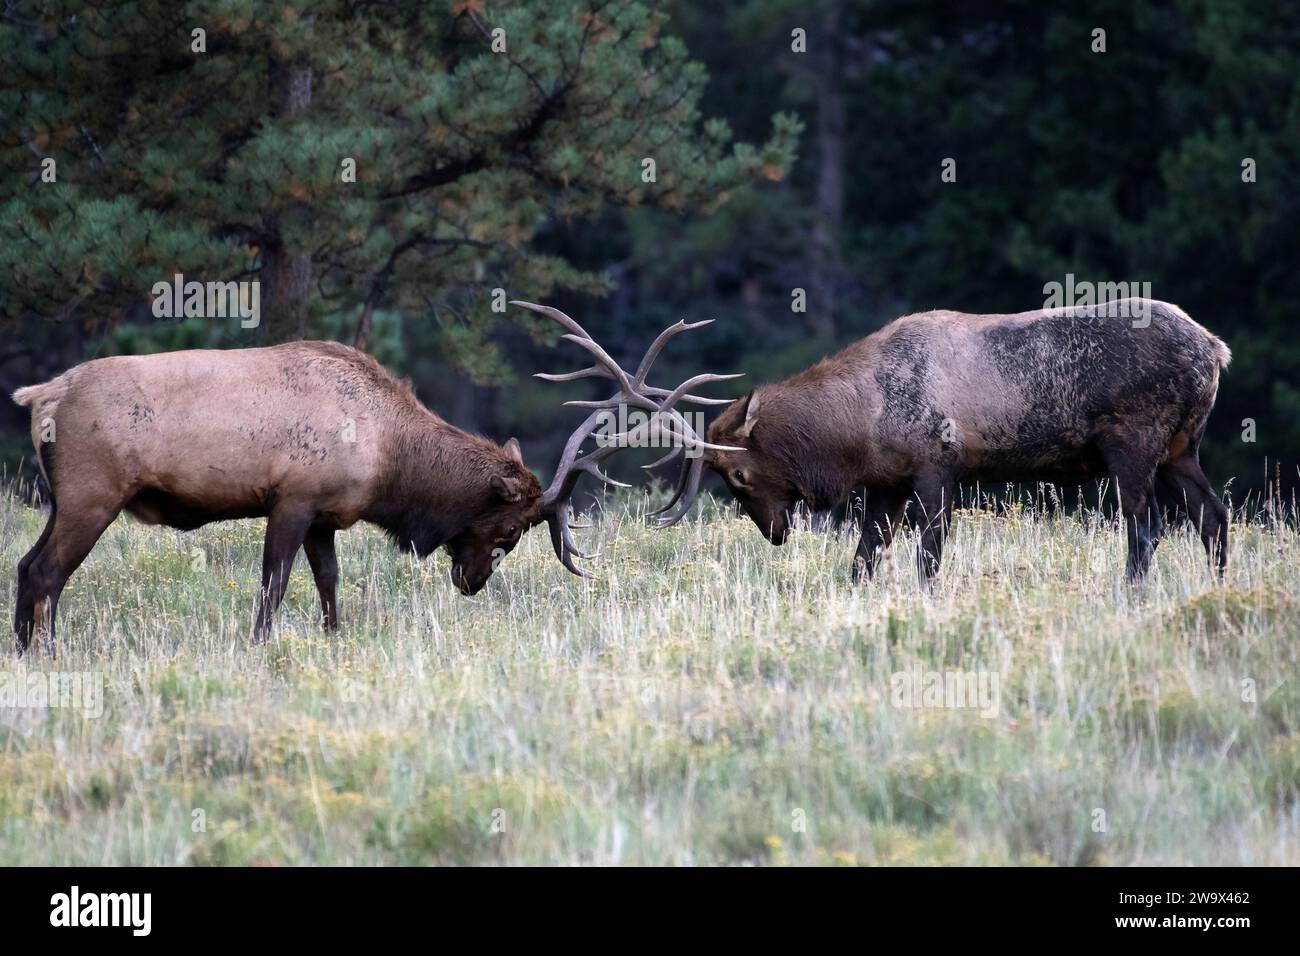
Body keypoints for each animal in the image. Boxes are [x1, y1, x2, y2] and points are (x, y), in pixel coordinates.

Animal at [11, 313, 740, 654]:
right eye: (509, 529)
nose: (472, 581)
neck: (390, 457)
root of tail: (41, 394)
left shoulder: (326, 516)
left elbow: (330, 587)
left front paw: (334, 640)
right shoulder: (292, 497)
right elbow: (272, 586)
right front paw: (260, 646)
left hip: (62, 499)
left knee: (25, 566)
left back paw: (23, 653)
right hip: (93, 494)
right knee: (47, 572)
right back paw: (46, 654)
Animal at [668, 298, 1232, 586]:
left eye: (739, 474)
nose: (775, 533)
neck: (861, 424)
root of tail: (1215, 348)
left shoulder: (938, 465)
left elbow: (929, 554)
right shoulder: (888, 481)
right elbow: (864, 557)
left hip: (1134, 439)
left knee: (1147, 525)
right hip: (1181, 447)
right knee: (1213, 514)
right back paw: (1218, 585)